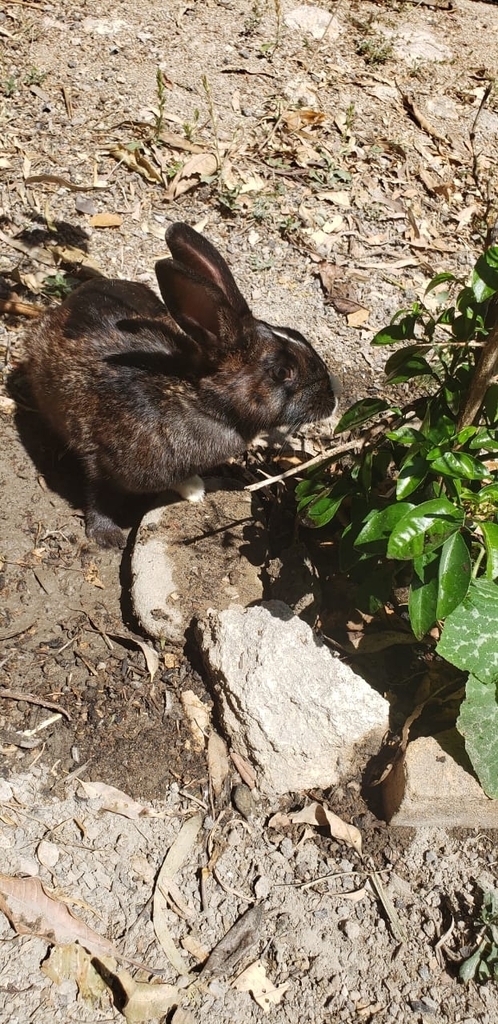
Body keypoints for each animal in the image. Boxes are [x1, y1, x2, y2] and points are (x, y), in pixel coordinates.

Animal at [24, 222, 339, 548]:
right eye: (281, 371)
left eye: (297, 334)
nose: (333, 399)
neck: (201, 400)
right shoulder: (98, 458)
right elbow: (99, 496)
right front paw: (106, 536)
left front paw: (194, 490)